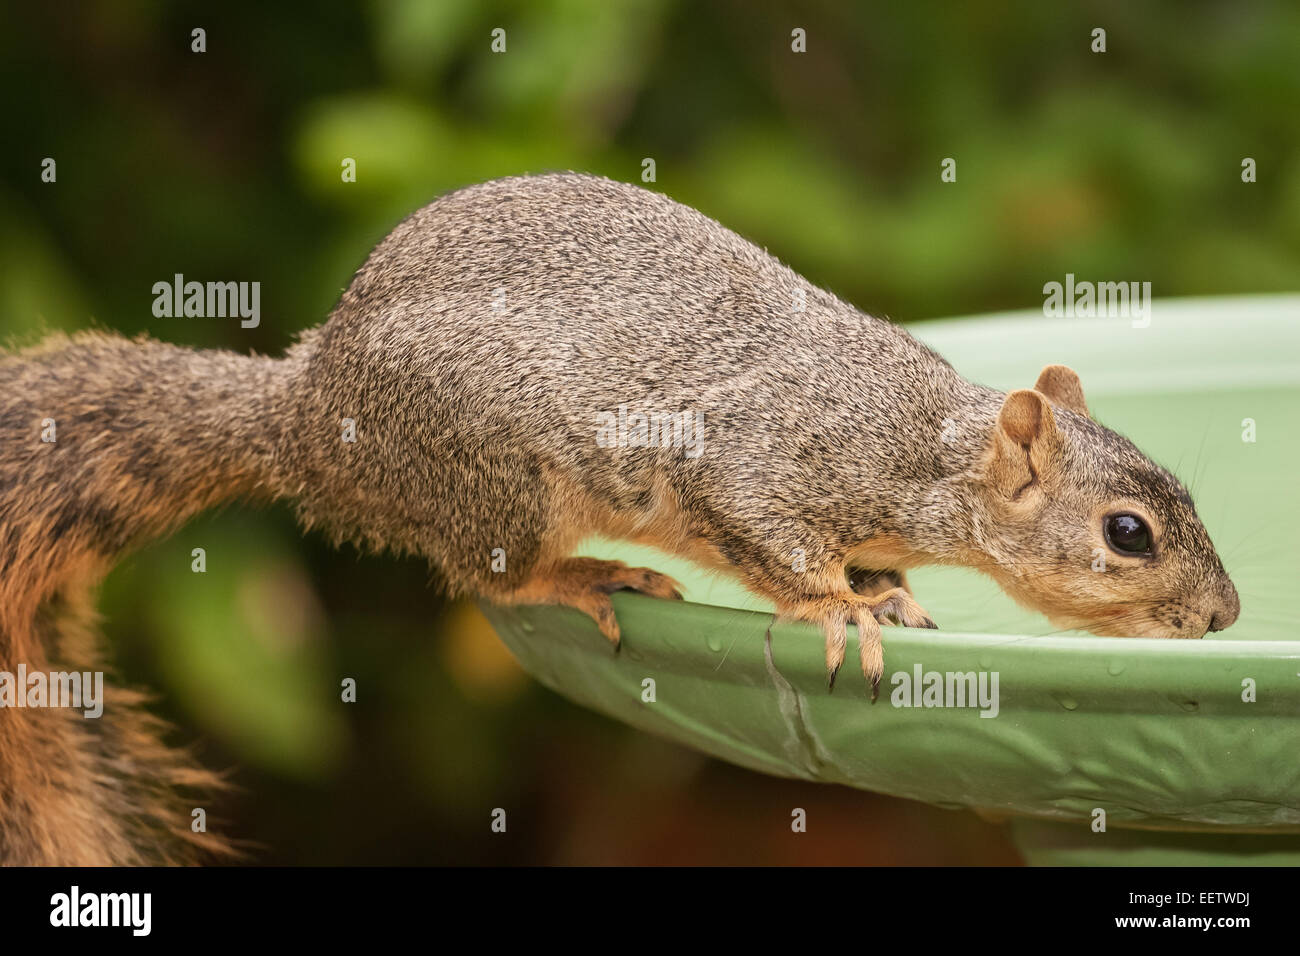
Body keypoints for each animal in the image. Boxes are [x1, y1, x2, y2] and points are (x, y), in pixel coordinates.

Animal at [0, 172, 1239, 864]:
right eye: (1127, 531)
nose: (1224, 616)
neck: (922, 445)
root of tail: (306, 413)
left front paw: (889, 591)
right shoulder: (762, 456)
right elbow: (765, 532)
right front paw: (838, 608)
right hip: (491, 466)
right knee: (485, 574)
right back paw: (586, 576)